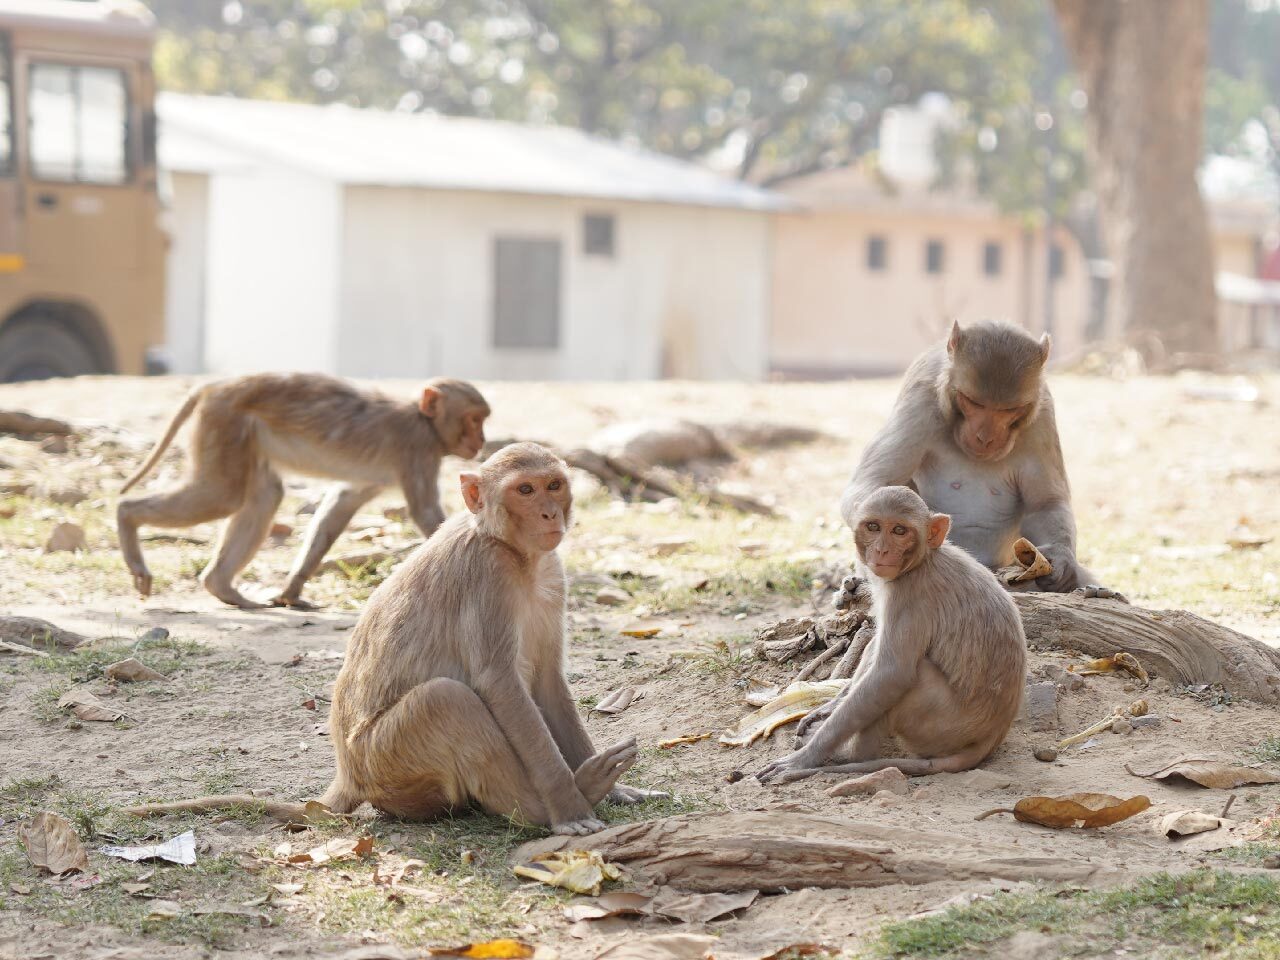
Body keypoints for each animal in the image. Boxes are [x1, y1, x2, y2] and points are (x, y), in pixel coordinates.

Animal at [116, 373, 489, 610]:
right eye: (473, 420)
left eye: (482, 421)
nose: (482, 440)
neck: (423, 420)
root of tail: (216, 385)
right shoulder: (418, 449)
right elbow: (426, 514)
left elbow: (340, 506)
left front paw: (292, 591)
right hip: (224, 424)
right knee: (223, 495)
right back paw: (127, 515)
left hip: (239, 432)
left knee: (265, 496)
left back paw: (221, 587)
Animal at [316, 442, 663, 833]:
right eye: (525, 490)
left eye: (554, 485)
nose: (549, 513)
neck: (511, 549)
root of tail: (347, 775)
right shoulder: (488, 574)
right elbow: (498, 682)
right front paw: (569, 808)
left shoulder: (553, 574)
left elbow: (547, 681)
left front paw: (615, 792)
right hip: (382, 762)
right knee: (446, 699)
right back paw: (553, 804)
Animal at [758, 486, 1026, 785]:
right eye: (873, 527)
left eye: (899, 530)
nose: (881, 550)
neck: (924, 560)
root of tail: (991, 738)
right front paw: (826, 709)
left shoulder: (908, 595)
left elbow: (890, 675)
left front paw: (805, 757)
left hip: (941, 728)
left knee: (909, 677)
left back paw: (851, 755)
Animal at [839, 319, 1101, 595]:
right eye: (973, 402)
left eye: (1009, 409)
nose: (985, 438)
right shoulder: (921, 401)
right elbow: (877, 482)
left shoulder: (1041, 416)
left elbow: (1046, 503)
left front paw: (1061, 561)